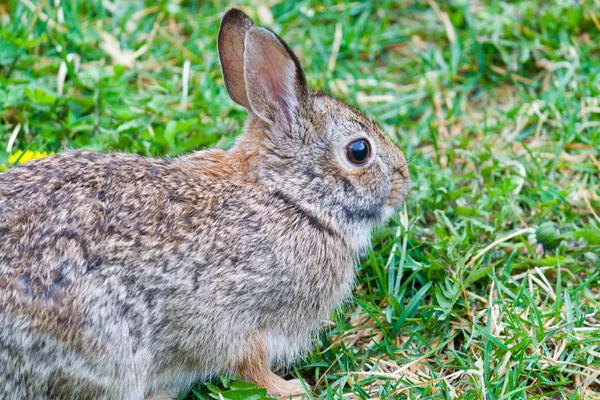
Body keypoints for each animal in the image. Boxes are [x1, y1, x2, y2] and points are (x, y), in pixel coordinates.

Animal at [0, 7, 410, 400]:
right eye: (359, 151)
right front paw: (291, 390)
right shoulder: (239, 318)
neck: (288, 198)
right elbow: (250, 366)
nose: (403, 183)